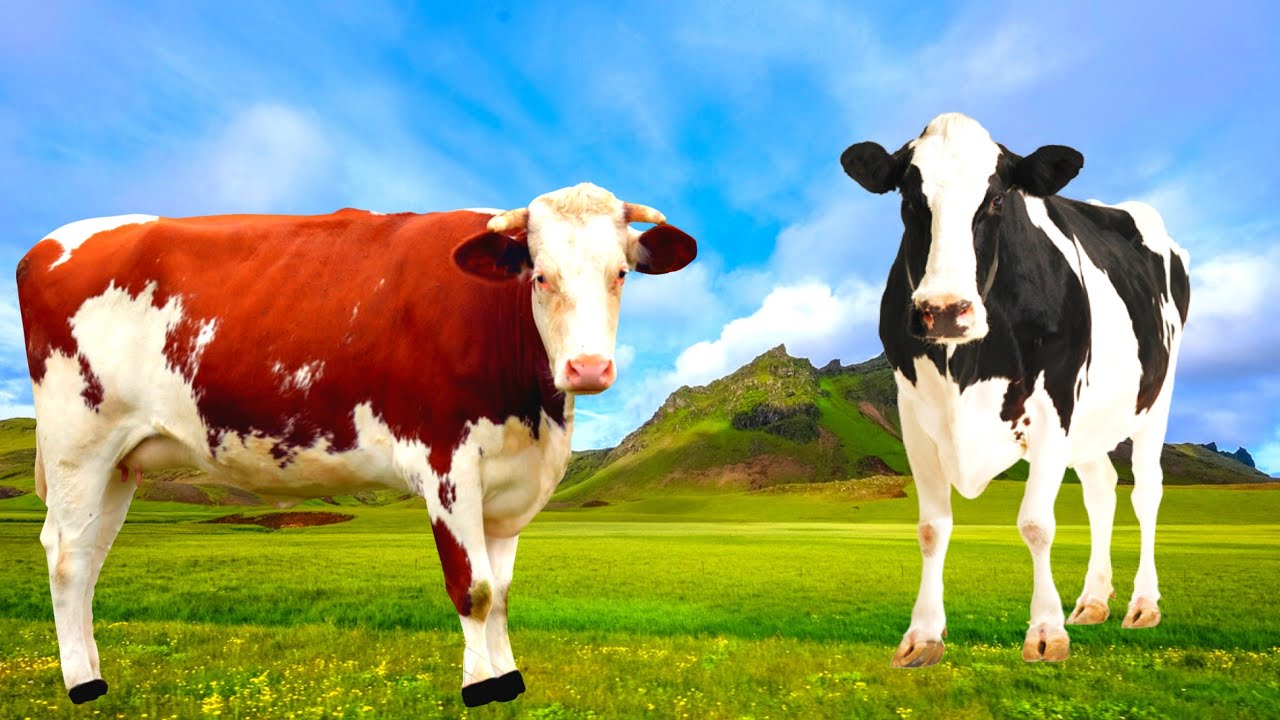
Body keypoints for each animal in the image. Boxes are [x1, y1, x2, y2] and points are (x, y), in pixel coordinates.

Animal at [16, 182, 697, 706]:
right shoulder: (446, 463)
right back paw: (83, 686)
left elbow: (501, 592)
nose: (588, 368)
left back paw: (92, 669)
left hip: (120, 463)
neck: (533, 414)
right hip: (79, 444)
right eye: (541, 276)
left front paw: (508, 679)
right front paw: (480, 687)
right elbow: (473, 589)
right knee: (68, 558)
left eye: (620, 273)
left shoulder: (511, 481)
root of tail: (46, 245)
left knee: (90, 557)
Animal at [840, 113, 1190, 666]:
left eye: (997, 199)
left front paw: (1045, 631)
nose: (944, 310)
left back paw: (1143, 604)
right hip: (1090, 423)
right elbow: (931, 527)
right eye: (909, 198)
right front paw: (923, 635)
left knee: (1146, 490)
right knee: (1101, 489)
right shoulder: (912, 413)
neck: (966, 364)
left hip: (1157, 395)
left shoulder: (1054, 406)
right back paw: (1093, 601)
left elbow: (1036, 523)